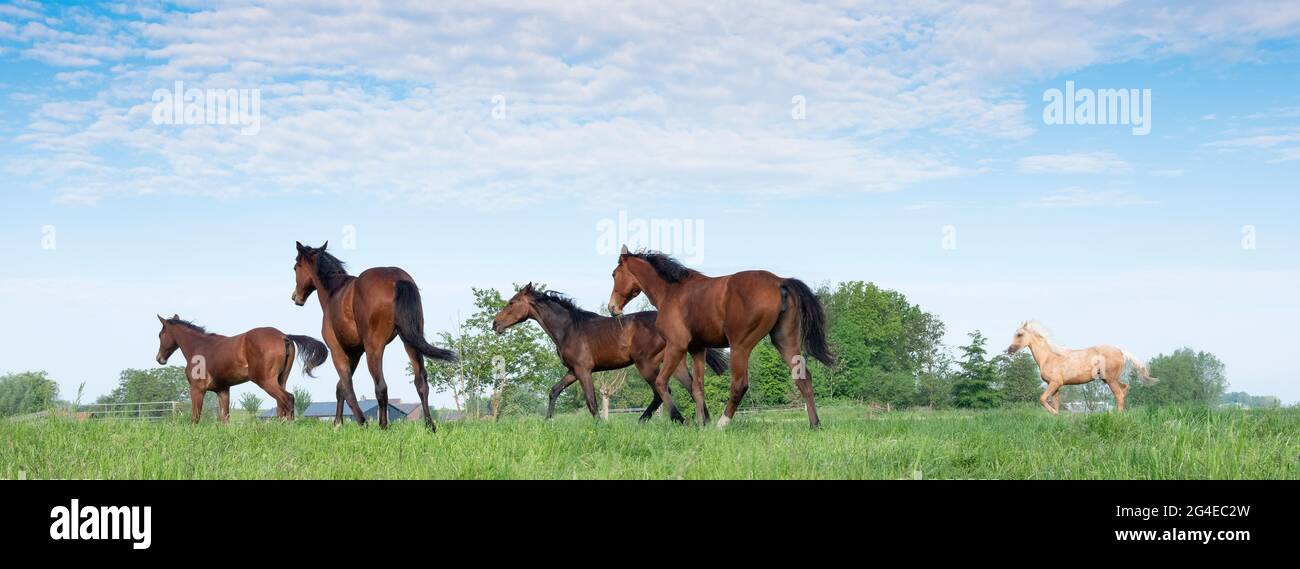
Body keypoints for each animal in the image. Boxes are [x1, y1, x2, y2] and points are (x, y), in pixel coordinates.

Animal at [155, 315, 328, 423]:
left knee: (288, 399)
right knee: (281, 405)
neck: (200, 346)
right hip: (281, 379)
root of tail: (283, 336)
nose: (159, 358)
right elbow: (224, 418)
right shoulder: (223, 390)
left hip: (266, 381)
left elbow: (195, 417)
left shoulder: (197, 389)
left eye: (160, 335)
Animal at [291, 241, 458, 430]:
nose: (295, 297)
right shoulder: (355, 353)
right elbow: (341, 387)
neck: (335, 291)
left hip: (375, 348)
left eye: (296, 267)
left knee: (381, 386)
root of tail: (397, 278)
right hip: (410, 342)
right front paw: (338, 423)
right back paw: (430, 426)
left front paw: (359, 422)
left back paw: (383, 426)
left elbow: (347, 387)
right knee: (421, 382)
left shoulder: (337, 350)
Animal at [491, 283, 728, 422]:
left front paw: (599, 426)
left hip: (646, 364)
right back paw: (703, 422)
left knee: (661, 391)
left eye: (512, 302)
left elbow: (591, 401)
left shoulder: (584, 370)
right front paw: (548, 421)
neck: (569, 328)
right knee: (691, 387)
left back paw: (658, 420)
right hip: (675, 363)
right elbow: (554, 390)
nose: (495, 324)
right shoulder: (573, 371)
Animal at [606, 246, 835, 428]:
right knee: (804, 379)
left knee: (739, 385)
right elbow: (697, 387)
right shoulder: (697, 349)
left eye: (615, 274)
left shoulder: (676, 346)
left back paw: (722, 424)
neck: (671, 292)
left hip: (740, 346)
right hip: (785, 342)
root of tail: (779, 282)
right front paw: (701, 424)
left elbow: (662, 383)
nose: (612, 307)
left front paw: (681, 419)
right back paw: (815, 424)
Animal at [1005, 321, 1157, 414]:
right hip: (1108, 379)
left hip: (1111, 379)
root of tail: (1120, 350)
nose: (1009, 350)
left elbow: (1042, 399)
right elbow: (1055, 404)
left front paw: (1054, 414)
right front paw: (1056, 416)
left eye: (1019, 334)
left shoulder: (1055, 383)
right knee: (1124, 388)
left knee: (1119, 394)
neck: (1049, 357)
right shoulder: (1056, 386)